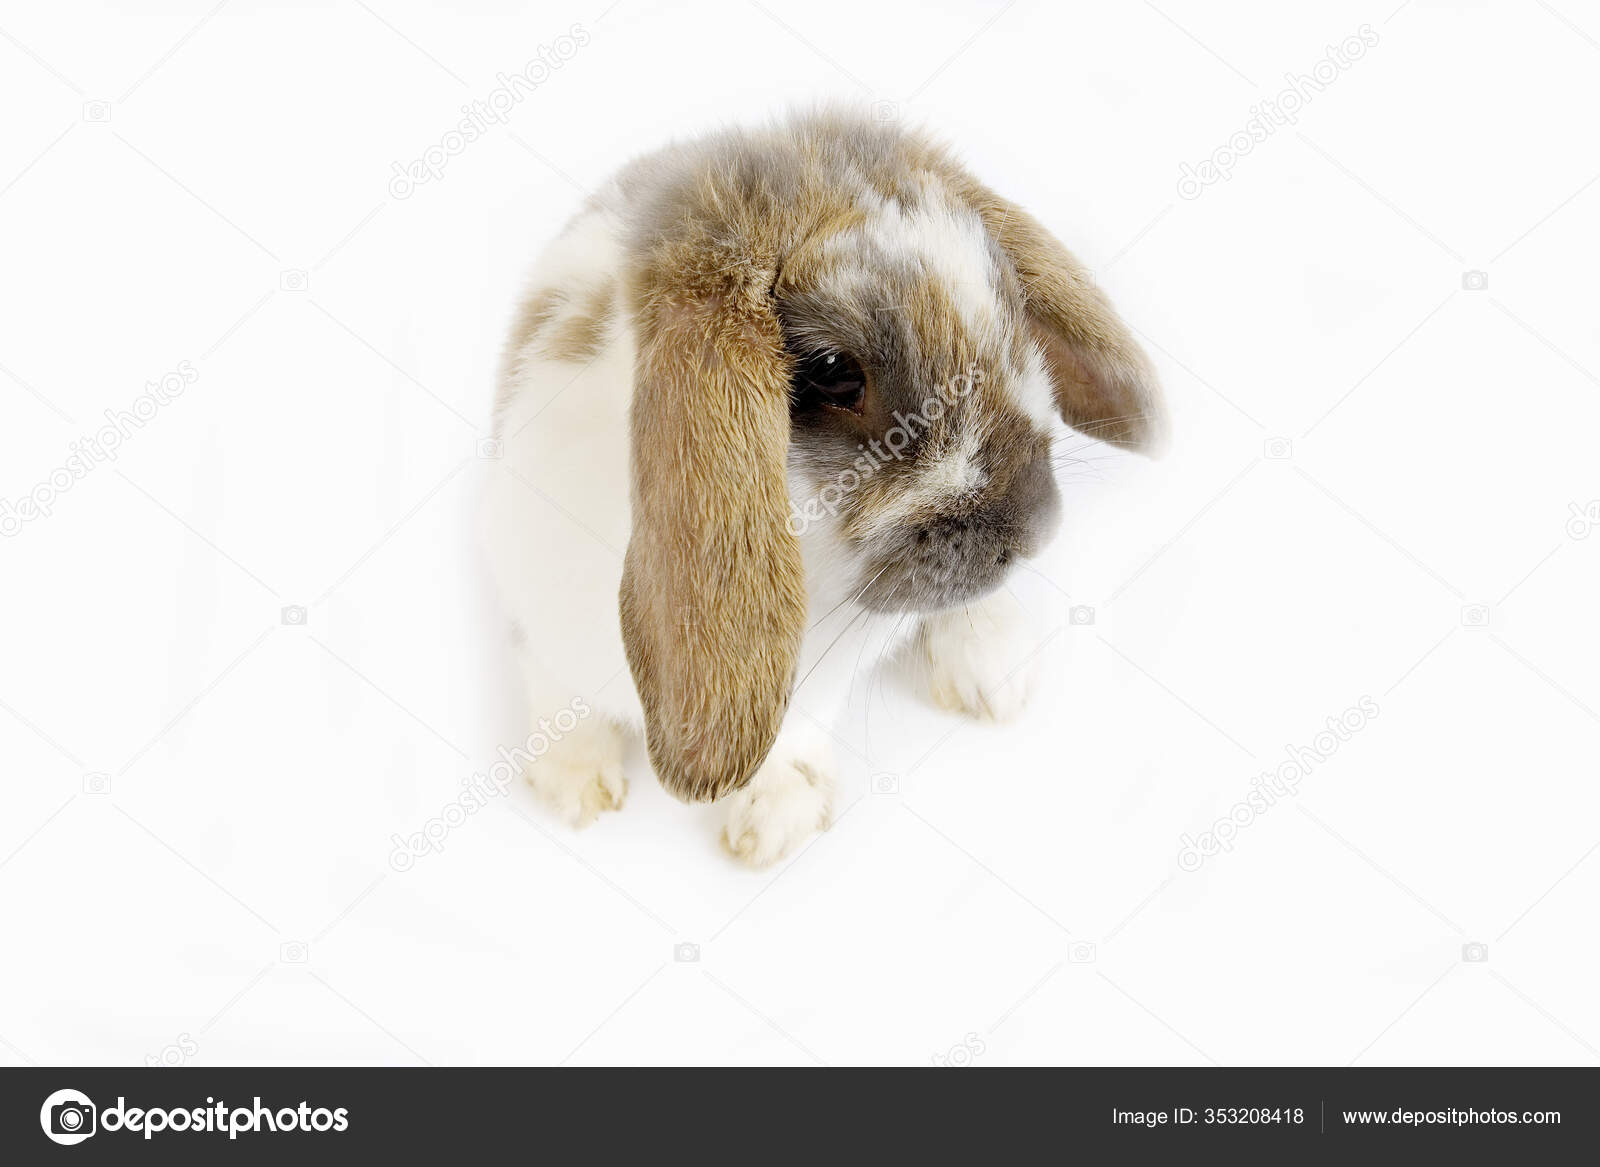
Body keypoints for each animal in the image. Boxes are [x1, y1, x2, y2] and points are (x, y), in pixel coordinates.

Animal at [481, 109, 1166, 866]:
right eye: (836, 372)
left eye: (1013, 307)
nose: (1035, 523)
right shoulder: (532, 608)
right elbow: (554, 695)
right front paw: (575, 785)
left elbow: (796, 739)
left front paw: (775, 821)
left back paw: (994, 673)